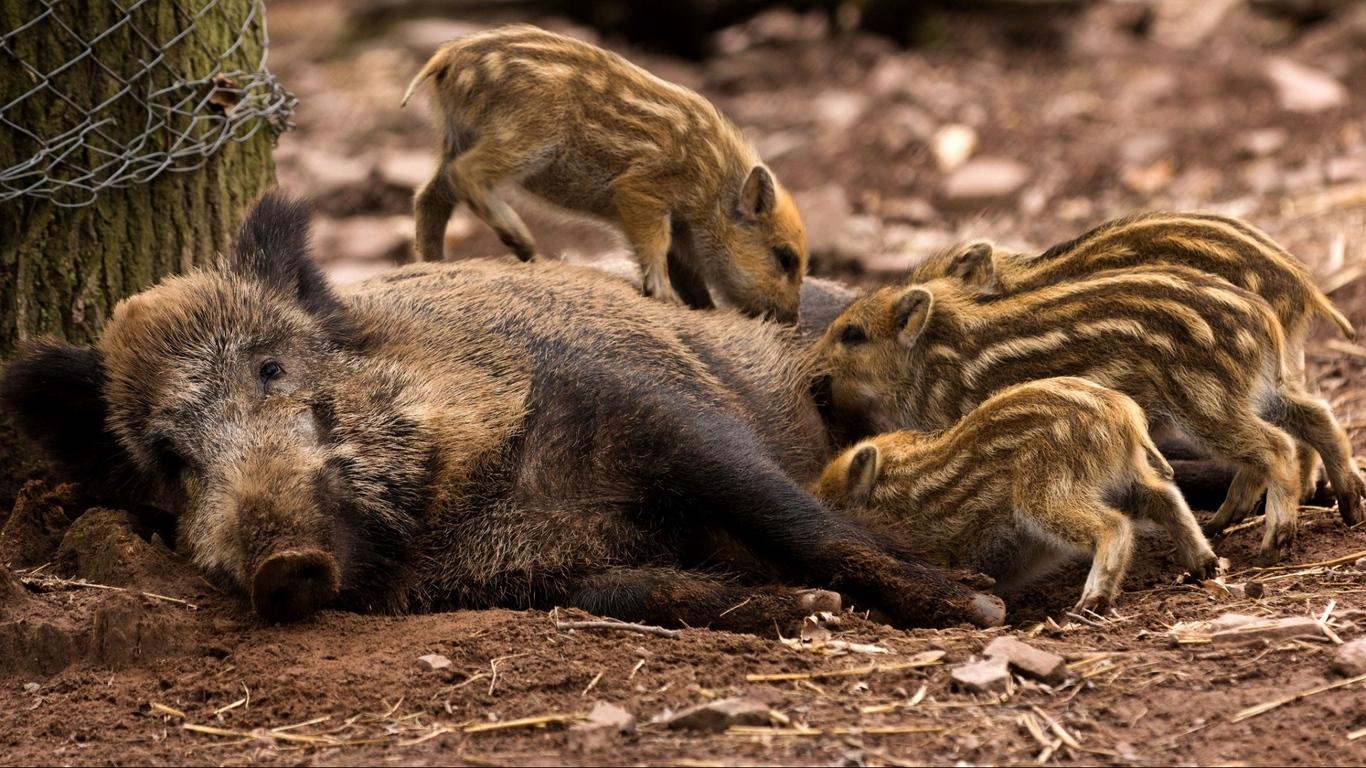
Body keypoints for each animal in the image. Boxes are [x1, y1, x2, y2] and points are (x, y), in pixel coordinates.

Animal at [0, 193, 1002, 631]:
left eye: (273, 367)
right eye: (172, 459)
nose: (283, 563)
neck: (468, 503)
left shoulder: (659, 409)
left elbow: (799, 519)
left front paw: (975, 606)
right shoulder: (531, 576)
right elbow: (645, 589)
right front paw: (802, 608)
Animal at [402, 24, 808, 322]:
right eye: (785, 258)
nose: (791, 321)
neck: (714, 186)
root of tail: (449, 56)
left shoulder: (680, 229)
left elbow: (685, 270)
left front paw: (701, 309)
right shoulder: (641, 190)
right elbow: (655, 247)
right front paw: (665, 299)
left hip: (457, 136)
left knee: (430, 196)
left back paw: (434, 263)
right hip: (524, 136)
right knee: (465, 173)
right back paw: (525, 247)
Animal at [811, 264, 1365, 562]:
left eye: (853, 335)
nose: (813, 368)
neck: (934, 359)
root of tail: (1263, 318)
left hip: (1206, 401)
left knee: (1277, 446)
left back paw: (1274, 537)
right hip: (1256, 388)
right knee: (1317, 417)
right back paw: (1343, 507)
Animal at [814, 377, 1221, 613]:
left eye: (834, 505)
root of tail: (1123, 415)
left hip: (1046, 494)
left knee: (1113, 525)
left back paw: (1090, 602)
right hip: (1124, 479)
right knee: (1165, 496)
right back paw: (1205, 565)